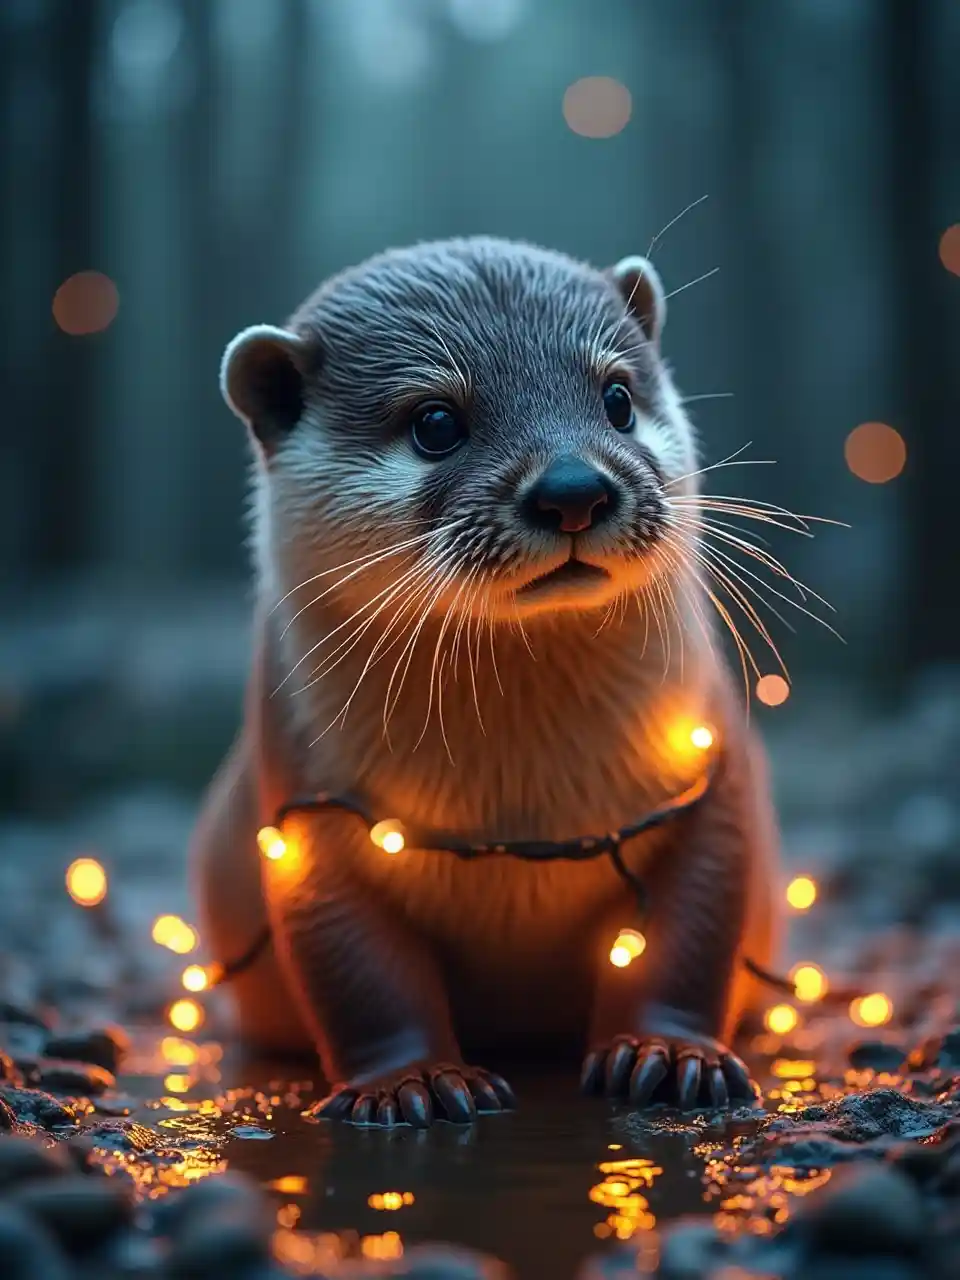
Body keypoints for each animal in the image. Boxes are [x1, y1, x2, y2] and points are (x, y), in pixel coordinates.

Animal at [190, 236, 780, 1128]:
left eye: (617, 398)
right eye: (435, 423)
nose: (574, 489)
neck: (522, 800)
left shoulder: (712, 777)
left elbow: (693, 933)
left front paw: (672, 1056)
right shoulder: (303, 808)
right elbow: (358, 970)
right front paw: (413, 1082)